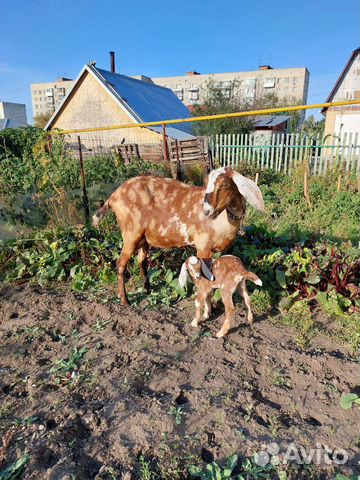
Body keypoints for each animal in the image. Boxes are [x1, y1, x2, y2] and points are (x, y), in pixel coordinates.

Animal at [91, 167, 262, 306]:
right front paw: (209, 306)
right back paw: (124, 300)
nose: (206, 211)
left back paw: (147, 289)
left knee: (141, 261)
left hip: (143, 238)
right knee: (120, 263)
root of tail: (113, 197)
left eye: (224, 185)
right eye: (206, 184)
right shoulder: (203, 246)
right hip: (130, 233)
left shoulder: (220, 250)